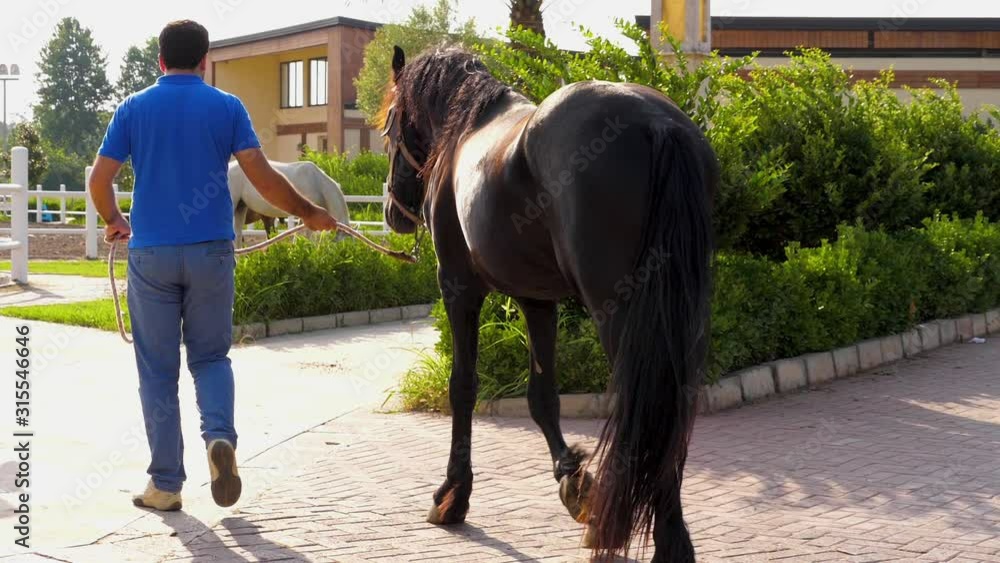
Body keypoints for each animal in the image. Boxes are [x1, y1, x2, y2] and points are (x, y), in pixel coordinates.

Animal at [380, 46, 717, 562]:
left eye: (389, 125)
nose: (392, 210)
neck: (465, 128)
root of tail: (659, 124)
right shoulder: (536, 299)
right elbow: (542, 397)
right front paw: (574, 482)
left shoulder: (458, 288)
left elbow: (463, 388)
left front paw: (452, 495)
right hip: (682, 309)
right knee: (673, 403)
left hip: (621, 312)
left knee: (646, 403)